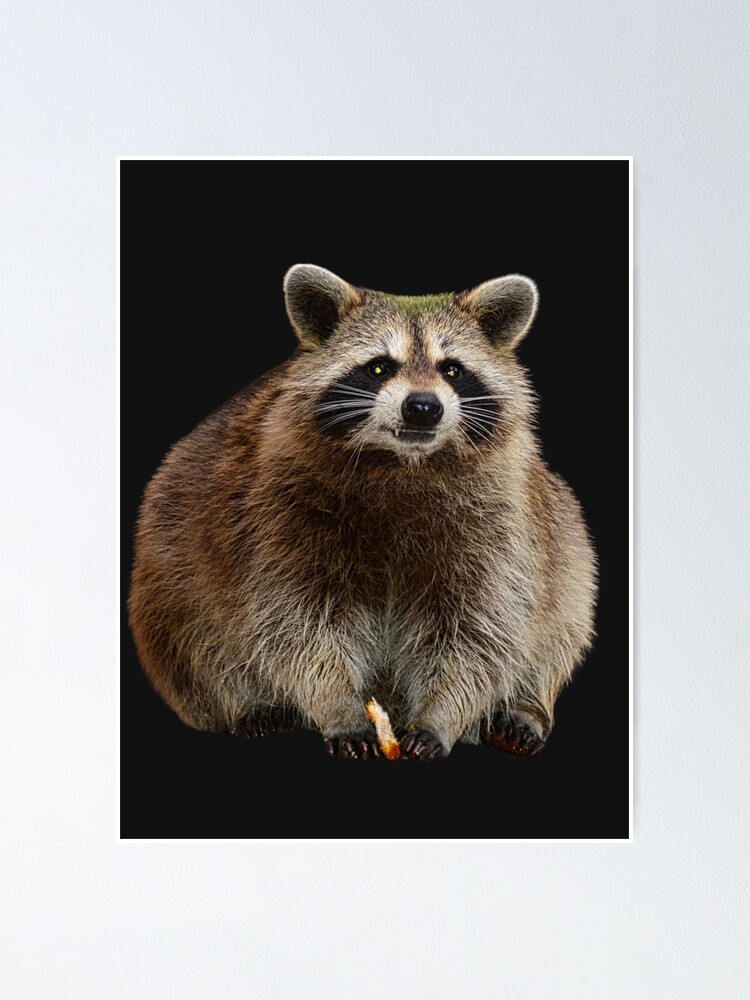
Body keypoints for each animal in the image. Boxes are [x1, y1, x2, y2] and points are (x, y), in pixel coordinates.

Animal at [128, 264, 597, 761]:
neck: (403, 465)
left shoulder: (502, 523)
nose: (423, 408)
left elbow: (484, 630)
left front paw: (441, 715)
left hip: (564, 535)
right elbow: (294, 622)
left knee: (562, 620)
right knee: (193, 641)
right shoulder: (276, 514)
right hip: (168, 562)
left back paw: (526, 707)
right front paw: (337, 704)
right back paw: (247, 701)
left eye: (452, 369)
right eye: (378, 367)